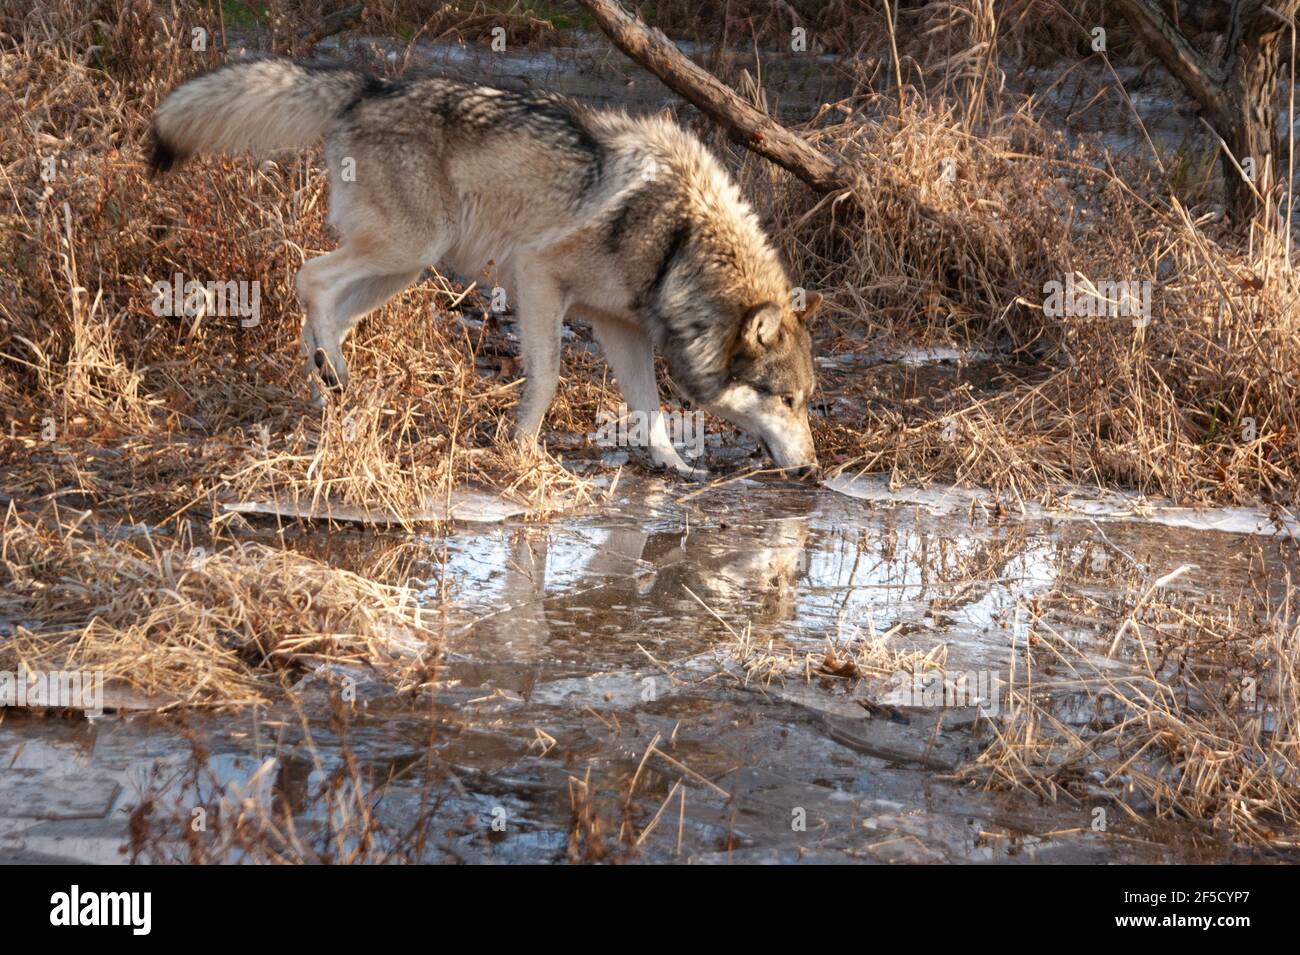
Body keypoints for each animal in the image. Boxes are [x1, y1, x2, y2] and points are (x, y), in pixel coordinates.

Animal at [149, 58, 822, 477]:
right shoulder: (538, 278)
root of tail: (370, 86)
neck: (681, 239)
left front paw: (672, 465)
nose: (813, 467)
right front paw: (523, 453)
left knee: (324, 318)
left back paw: (331, 396)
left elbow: (649, 408)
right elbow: (546, 380)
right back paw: (335, 382)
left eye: (805, 401)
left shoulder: (620, 325)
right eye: (787, 400)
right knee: (307, 277)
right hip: (408, 251)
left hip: (402, 269)